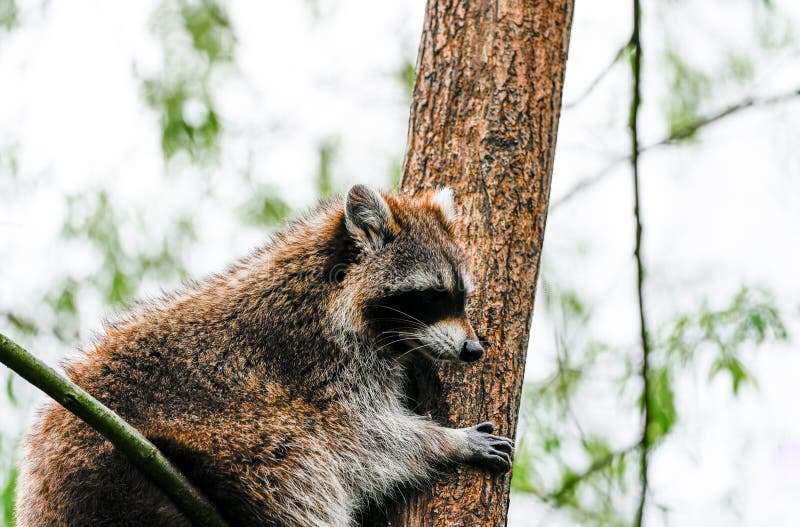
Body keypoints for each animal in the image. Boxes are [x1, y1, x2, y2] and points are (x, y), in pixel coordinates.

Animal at [17, 185, 513, 527]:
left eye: (462, 298)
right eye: (431, 297)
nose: (473, 349)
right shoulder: (318, 361)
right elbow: (365, 439)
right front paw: (446, 441)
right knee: (298, 460)